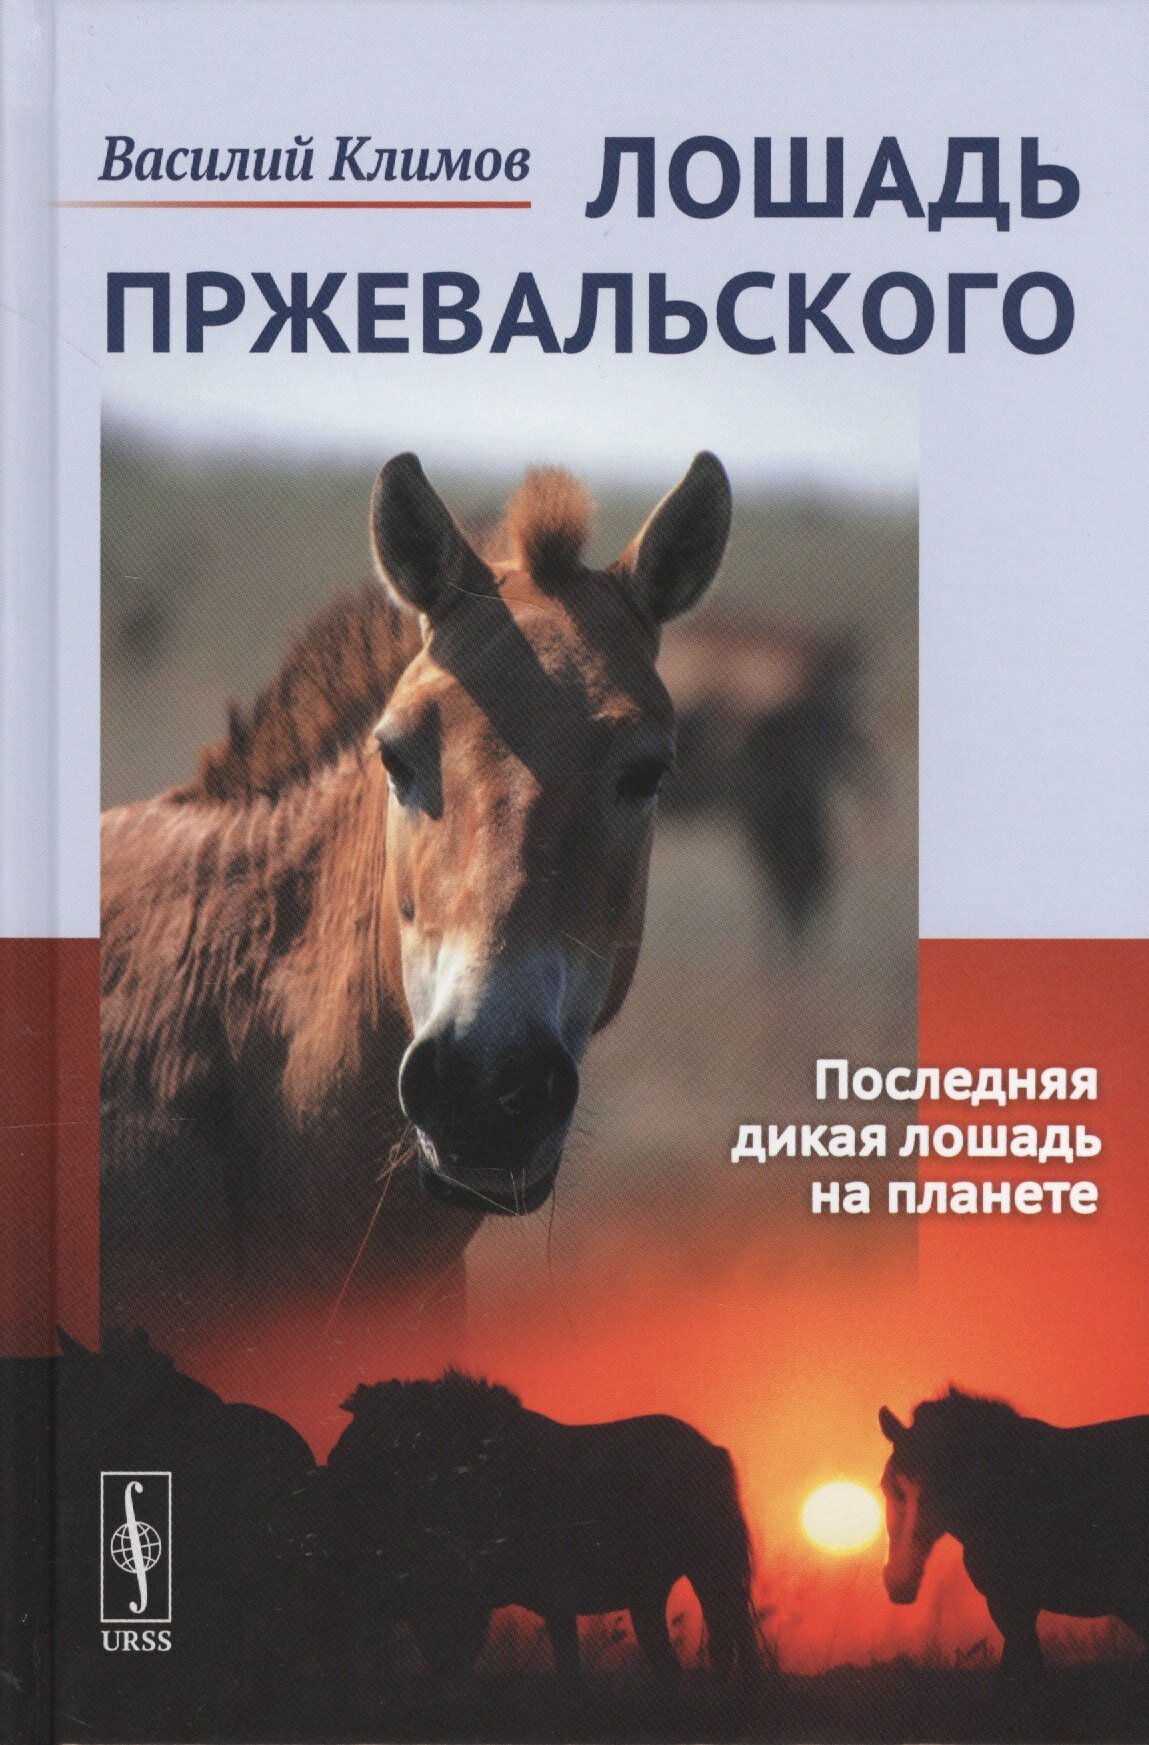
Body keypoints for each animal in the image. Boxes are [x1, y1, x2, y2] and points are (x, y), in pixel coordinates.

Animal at [315, 1370, 762, 1686]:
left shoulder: (533, 1593)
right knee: (684, 1657)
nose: (329, 1472)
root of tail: (713, 1450)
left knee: (737, 1638)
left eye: (368, 1441)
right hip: (651, 1592)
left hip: (712, 1569)